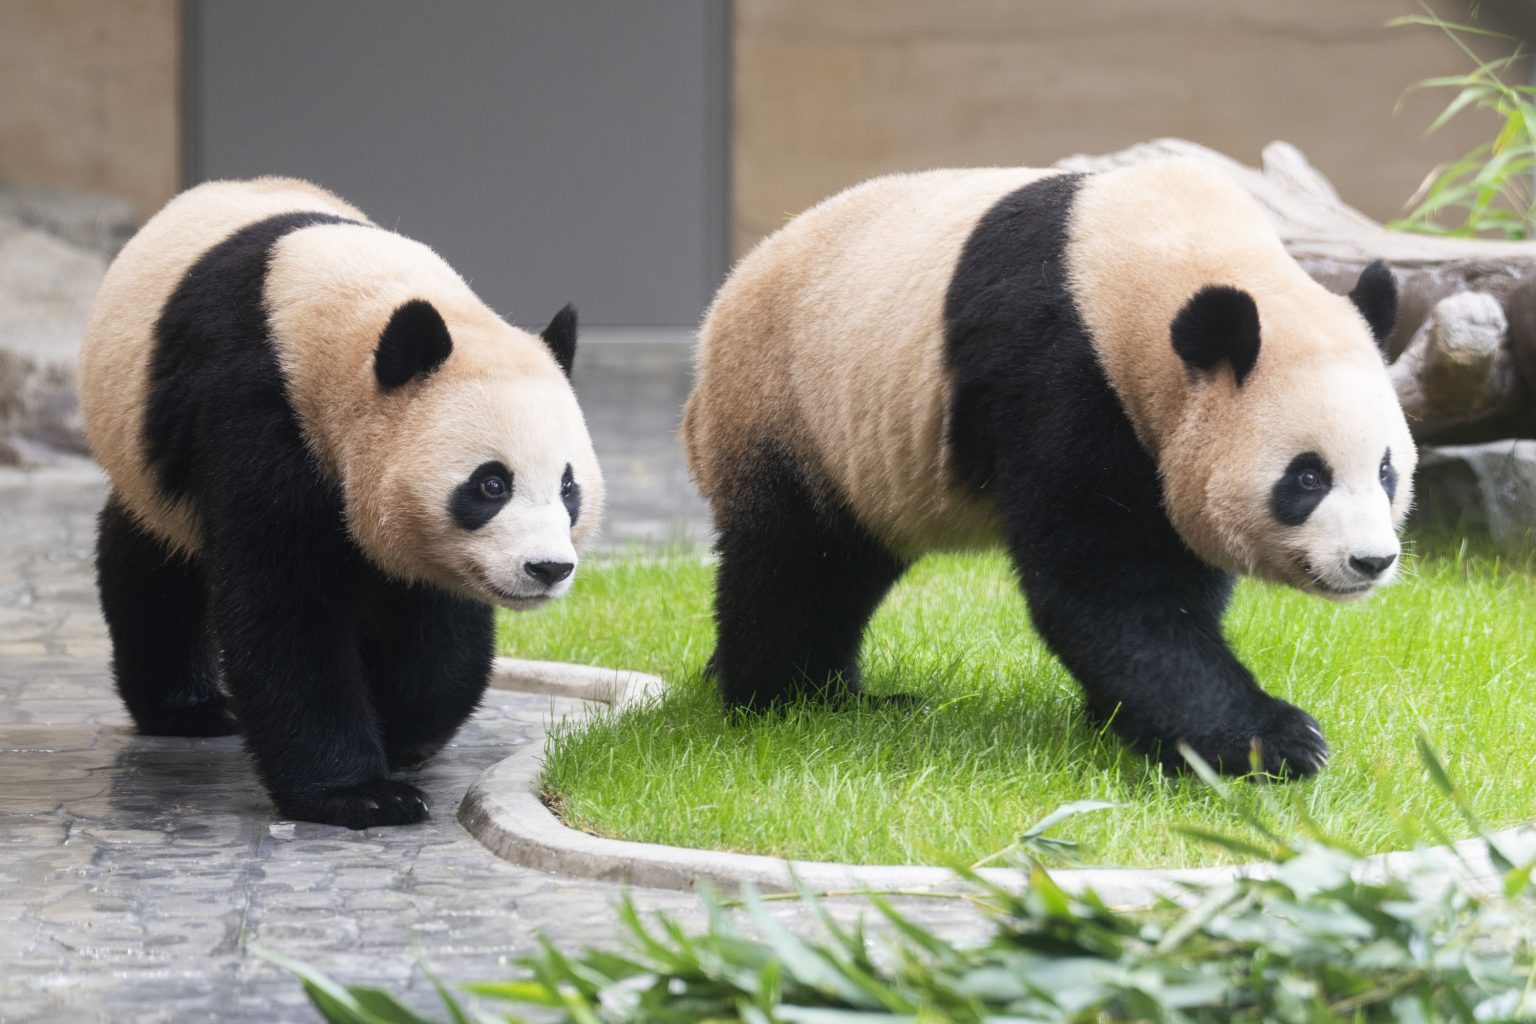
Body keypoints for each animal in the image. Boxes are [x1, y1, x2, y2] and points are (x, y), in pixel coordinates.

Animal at [79, 177, 604, 828]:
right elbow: (285, 603)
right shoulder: (257, 408)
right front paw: (362, 793)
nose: (548, 568)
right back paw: (187, 709)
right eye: (491, 485)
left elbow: (437, 619)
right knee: (152, 559)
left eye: (568, 486)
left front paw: (405, 729)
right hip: (143, 446)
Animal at [682, 157, 1414, 778]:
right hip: (787, 405)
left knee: (847, 564)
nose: (1370, 561)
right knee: (796, 564)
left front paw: (1127, 720)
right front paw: (1277, 741)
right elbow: (1107, 581)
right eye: (1307, 477)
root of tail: (721, 306)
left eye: (1386, 472)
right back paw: (784, 701)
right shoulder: (1061, 369)